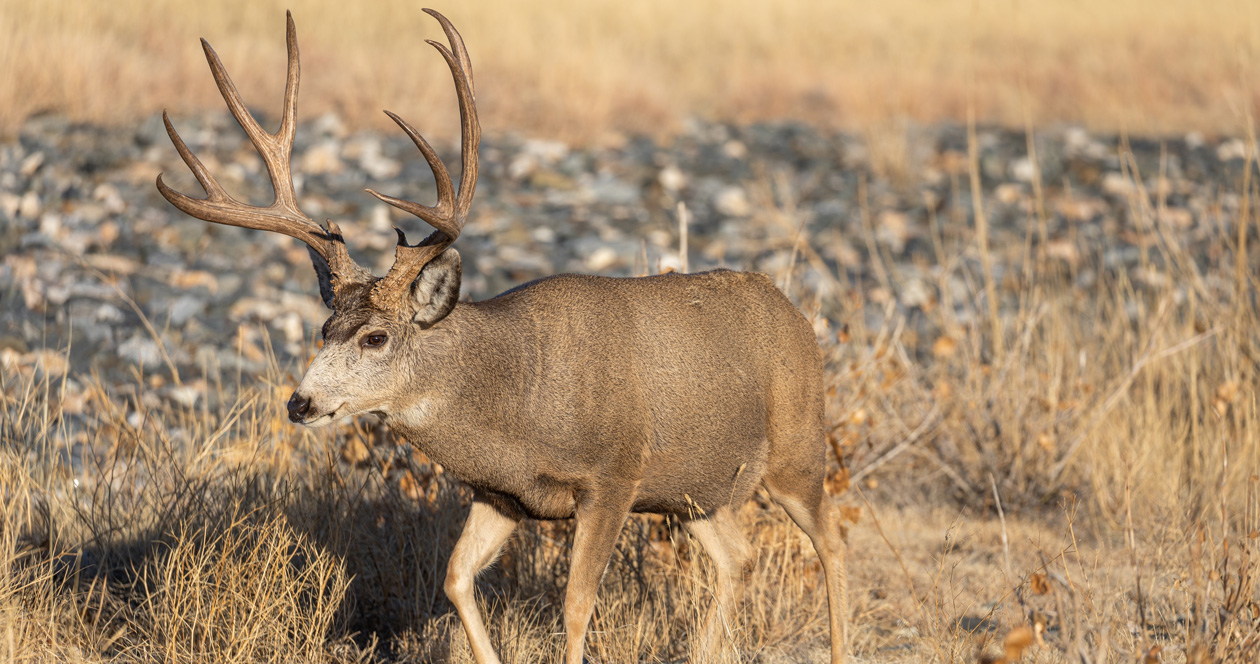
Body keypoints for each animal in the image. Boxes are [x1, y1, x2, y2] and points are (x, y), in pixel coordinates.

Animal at [155, 9, 848, 664]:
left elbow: (575, 604)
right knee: (740, 557)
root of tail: (796, 312)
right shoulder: (502, 494)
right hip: (698, 493)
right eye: (325, 328)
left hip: (798, 448)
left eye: (375, 338)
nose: (300, 403)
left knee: (832, 545)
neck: (517, 399)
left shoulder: (614, 475)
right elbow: (456, 578)